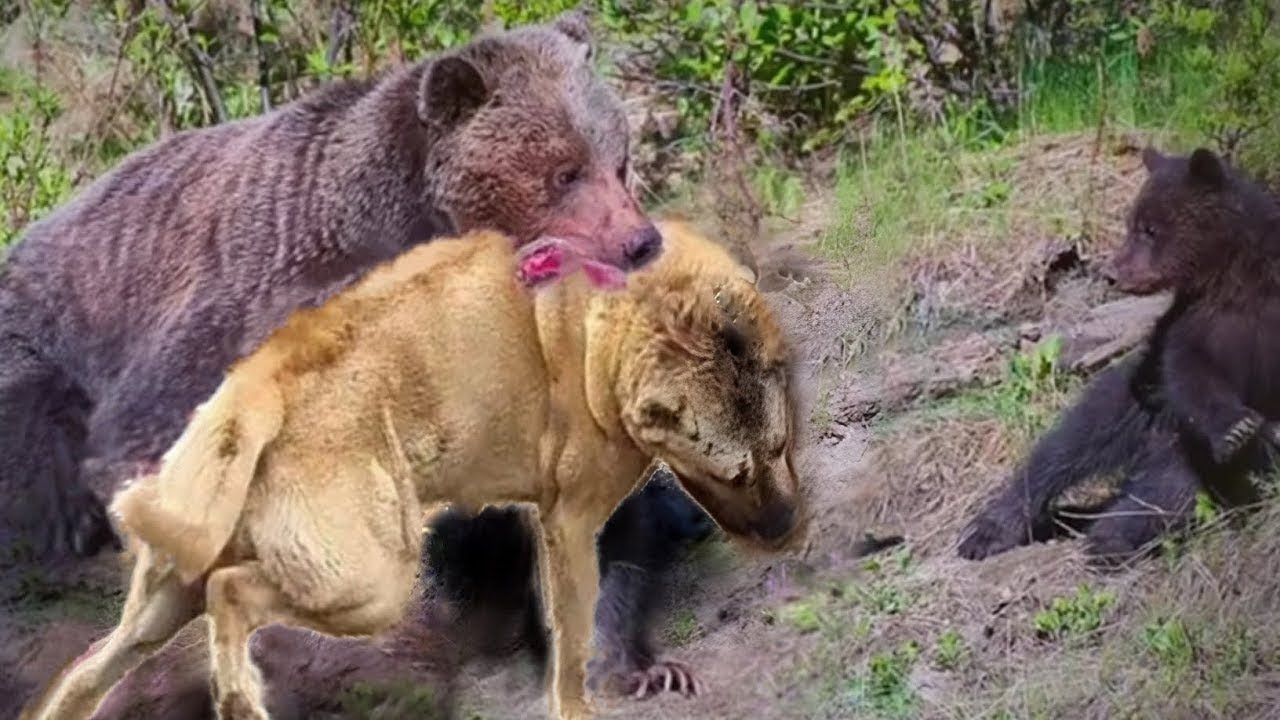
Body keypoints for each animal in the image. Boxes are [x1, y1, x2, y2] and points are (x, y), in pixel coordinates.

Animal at [0, 9, 661, 568]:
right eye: (565, 172)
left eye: (618, 161)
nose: (640, 241)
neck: (393, 201)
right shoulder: (249, 268)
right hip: (38, 326)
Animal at [19, 218, 807, 720]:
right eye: (735, 470)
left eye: (779, 447)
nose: (787, 529)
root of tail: (254, 390)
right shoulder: (573, 512)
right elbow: (579, 625)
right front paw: (603, 687)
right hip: (368, 574)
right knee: (233, 592)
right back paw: (242, 692)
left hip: (172, 582)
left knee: (95, 668)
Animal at [957, 146, 1280, 564]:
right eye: (1133, 224)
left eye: (1150, 229)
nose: (1111, 272)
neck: (1235, 277)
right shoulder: (1195, 325)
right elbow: (1192, 374)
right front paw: (1236, 429)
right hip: (1133, 411)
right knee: (1071, 444)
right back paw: (997, 530)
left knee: (1168, 487)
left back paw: (1112, 532)